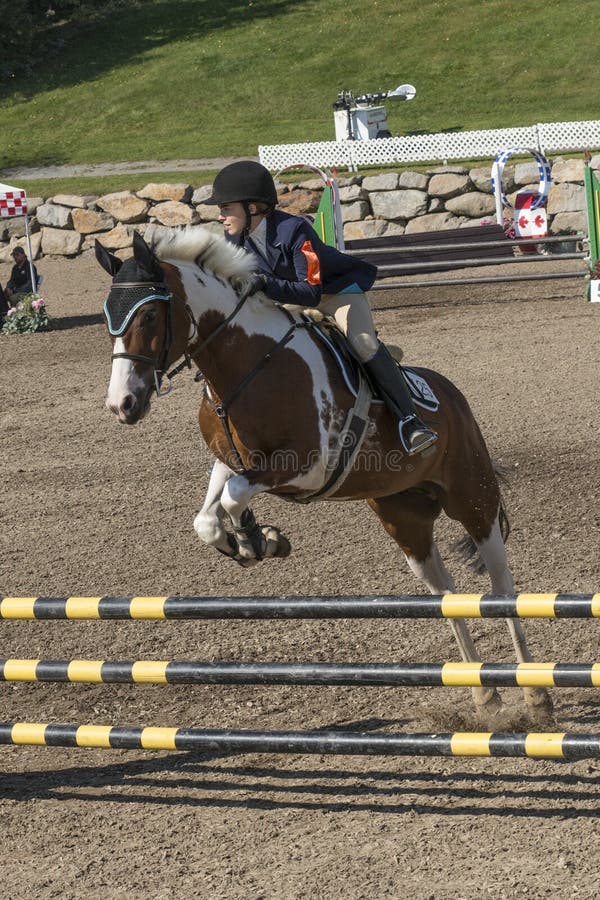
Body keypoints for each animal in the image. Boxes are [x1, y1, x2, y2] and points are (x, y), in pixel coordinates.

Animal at [97, 227, 552, 721]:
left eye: (148, 316)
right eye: (108, 317)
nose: (122, 405)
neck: (248, 362)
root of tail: (452, 395)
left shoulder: (306, 464)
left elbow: (235, 495)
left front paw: (257, 539)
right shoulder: (233, 460)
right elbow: (209, 515)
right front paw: (253, 541)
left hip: (473, 499)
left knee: (501, 586)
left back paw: (535, 695)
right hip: (403, 517)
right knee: (446, 591)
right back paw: (485, 694)